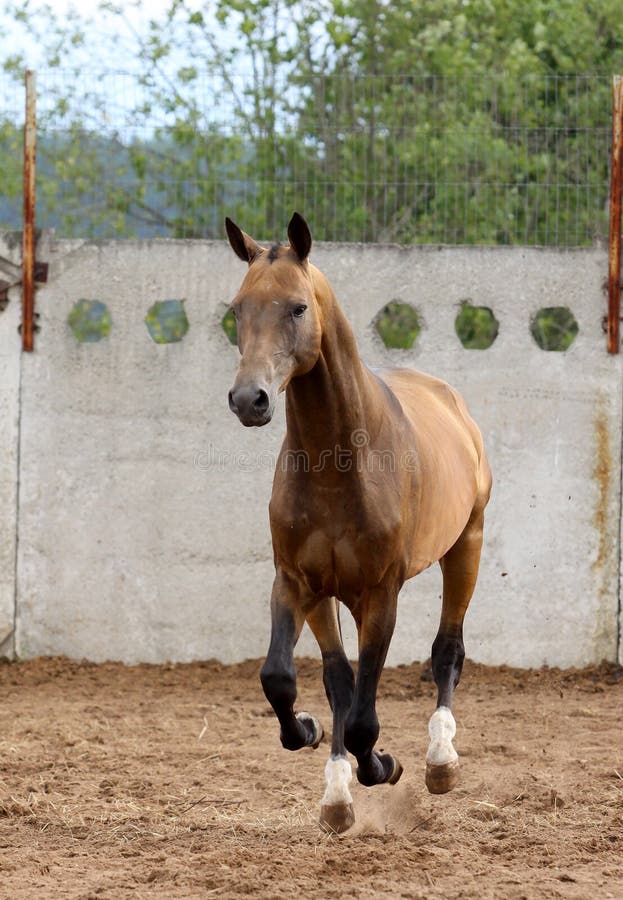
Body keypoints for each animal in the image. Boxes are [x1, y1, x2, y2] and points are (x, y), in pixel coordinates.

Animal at [225, 212, 492, 833]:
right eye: (238, 310)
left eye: (297, 307)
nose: (249, 399)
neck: (339, 463)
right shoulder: (297, 583)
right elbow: (288, 679)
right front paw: (314, 743)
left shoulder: (380, 593)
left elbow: (368, 714)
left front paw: (382, 764)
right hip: (332, 594)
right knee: (342, 679)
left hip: (465, 546)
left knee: (447, 650)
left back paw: (440, 761)